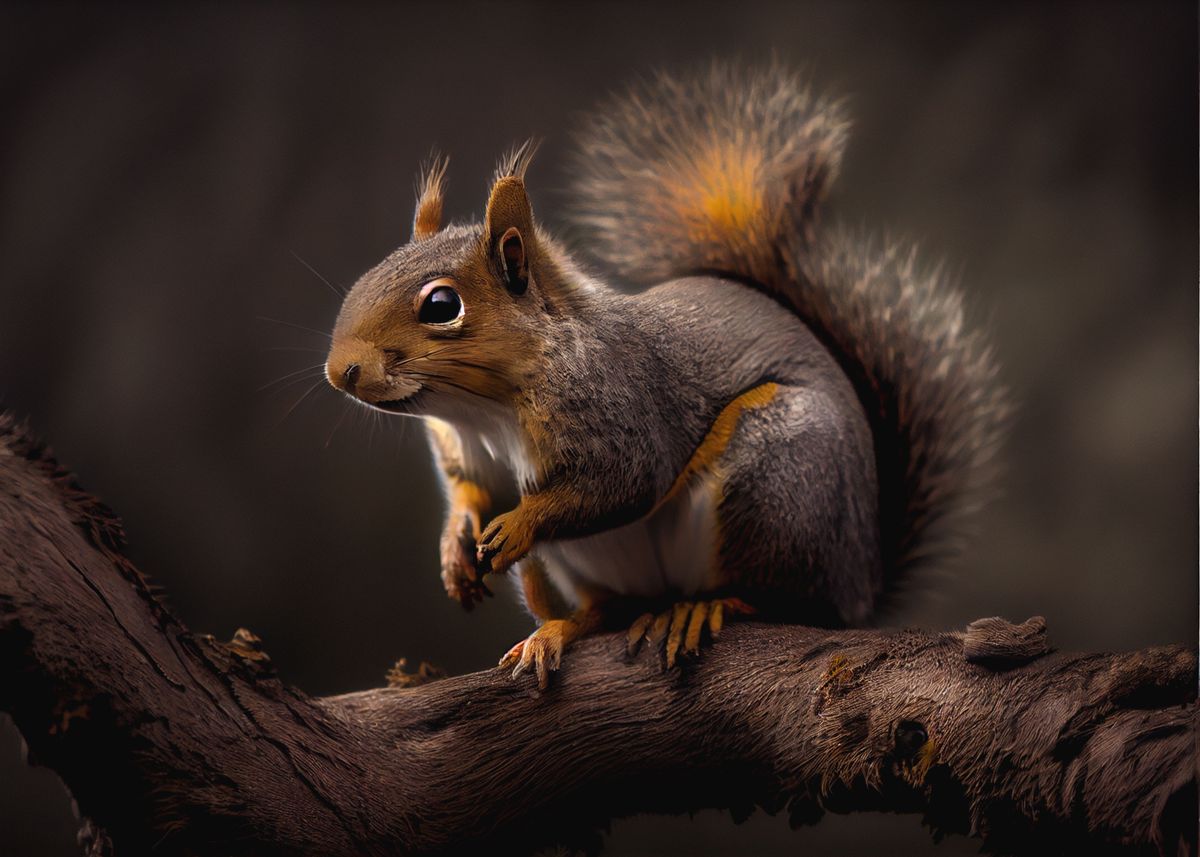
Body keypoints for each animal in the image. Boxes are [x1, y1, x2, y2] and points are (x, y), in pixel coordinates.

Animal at [324, 63, 1006, 688]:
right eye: (377, 267)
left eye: (442, 305)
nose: (340, 372)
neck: (481, 407)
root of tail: (860, 584)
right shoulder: (468, 451)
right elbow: (470, 492)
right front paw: (456, 549)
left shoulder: (621, 407)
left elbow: (623, 483)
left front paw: (518, 522)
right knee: (607, 609)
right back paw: (560, 629)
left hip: (777, 480)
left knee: (773, 597)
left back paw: (703, 607)